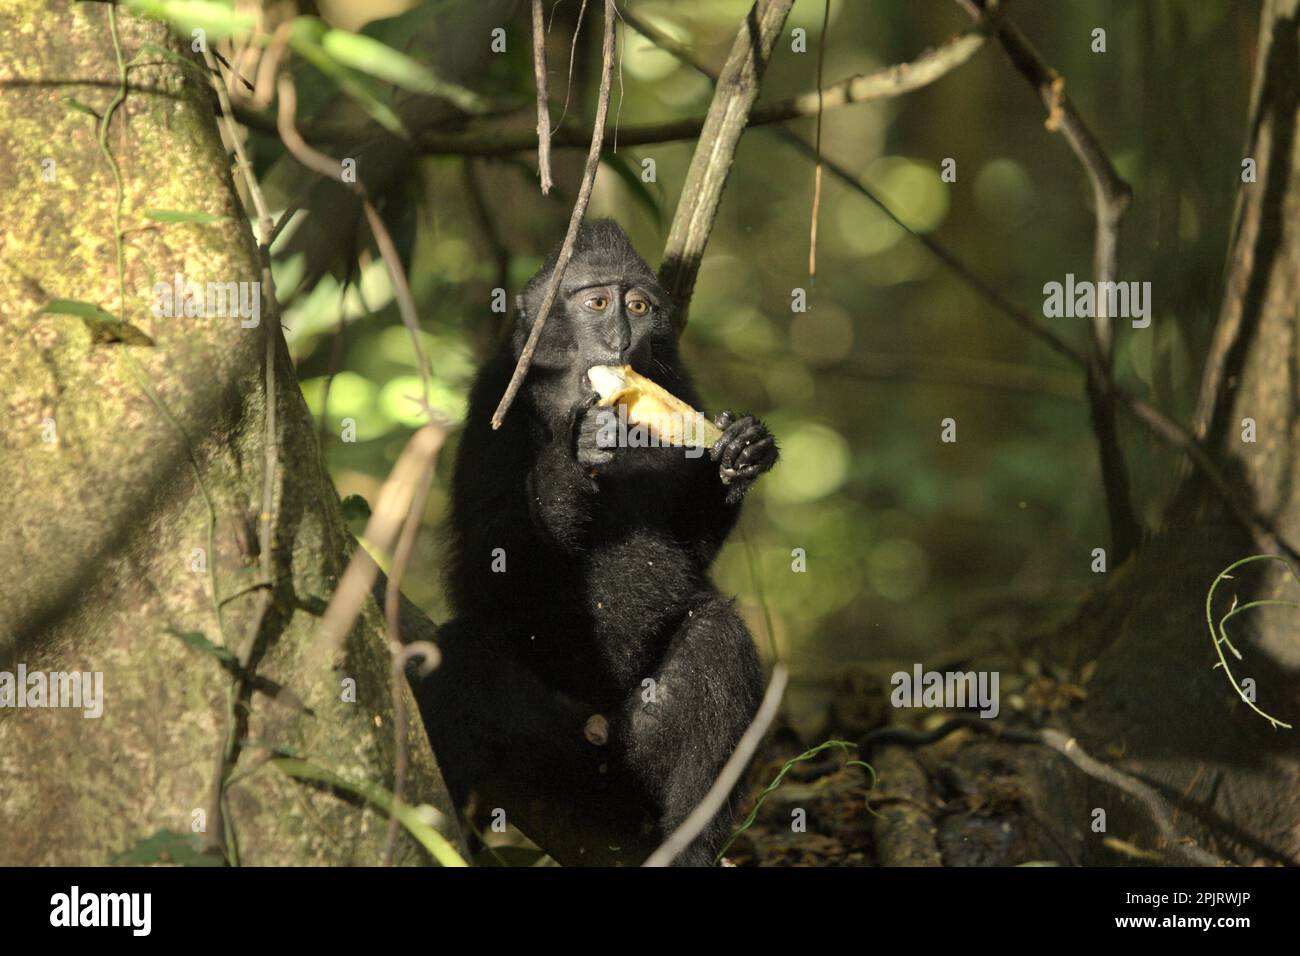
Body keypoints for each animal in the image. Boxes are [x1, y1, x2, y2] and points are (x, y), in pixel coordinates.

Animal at [412, 219, 778, 866]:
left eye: (639, 306)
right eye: (598, 303)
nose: (619, 341)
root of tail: (597, 736)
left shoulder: (680, 386)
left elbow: (691, 552)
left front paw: (737, 453)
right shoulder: (494, 403)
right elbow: (485, 569)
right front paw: (570, 459)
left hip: (634, 750)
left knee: (716, 638)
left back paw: (688, 844)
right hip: (548, 749)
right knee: (459, 655)